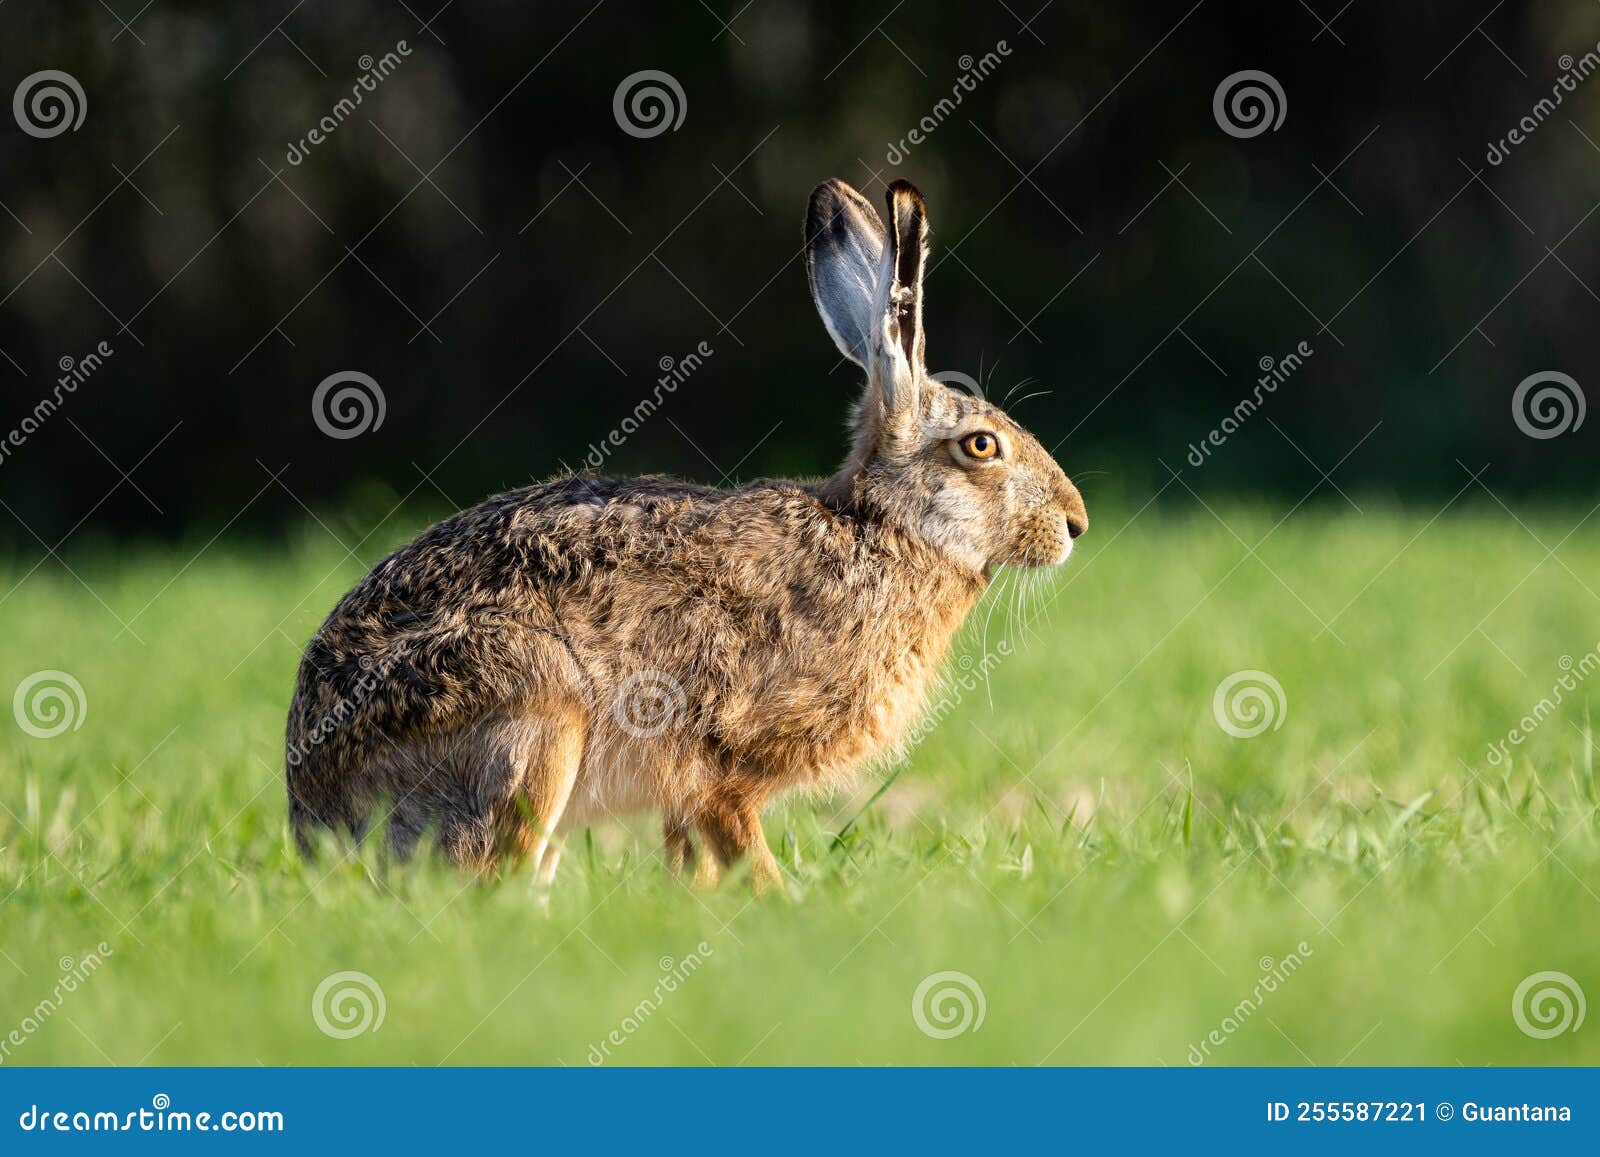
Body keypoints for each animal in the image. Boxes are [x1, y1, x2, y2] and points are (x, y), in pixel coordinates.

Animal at [284, 178, 1088, 893]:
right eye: (981, 446)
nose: (1075, 523)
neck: (882, 528)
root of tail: (313, 811)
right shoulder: (721, 761)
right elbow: (735, 840)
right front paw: (778, 901)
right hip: (531, 714)